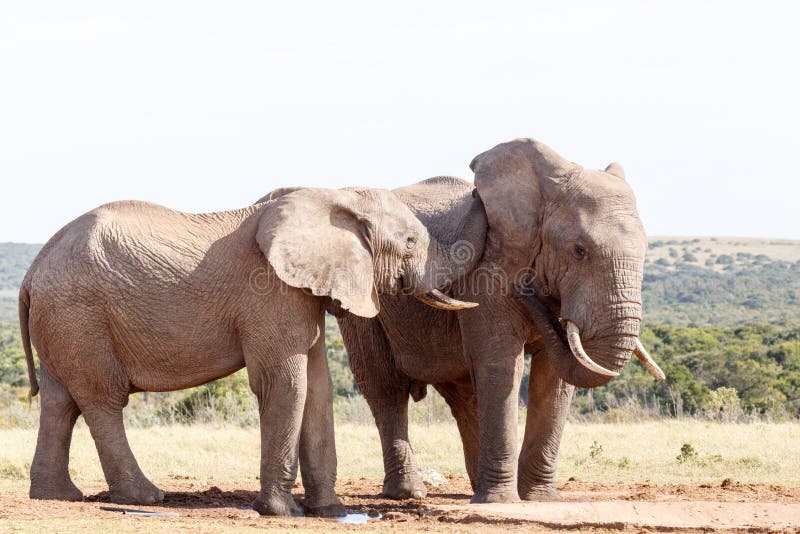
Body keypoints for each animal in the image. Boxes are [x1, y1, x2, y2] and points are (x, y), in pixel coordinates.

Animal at [19, 187, 476, 516]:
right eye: (411, 241)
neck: (333, 196)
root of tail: (33, 269)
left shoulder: (301, 294)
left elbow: (318, 387)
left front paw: (330, 511)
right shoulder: (271, 293)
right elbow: (284, 383)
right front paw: (282, 513)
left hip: (63, 320)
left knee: (60, 401)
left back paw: (57, 497)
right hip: (80, 316)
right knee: (102, 400)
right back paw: (146, 498)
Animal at [335, 138, 665, 504]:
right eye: (579, 250)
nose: (528, 290)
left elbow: (553, 378)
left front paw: (540, 500)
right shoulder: (486, 272)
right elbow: (503, 364)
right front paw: (502, 502)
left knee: (464, 395)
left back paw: (475, 486)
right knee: (384, 386)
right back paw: (410, 493)